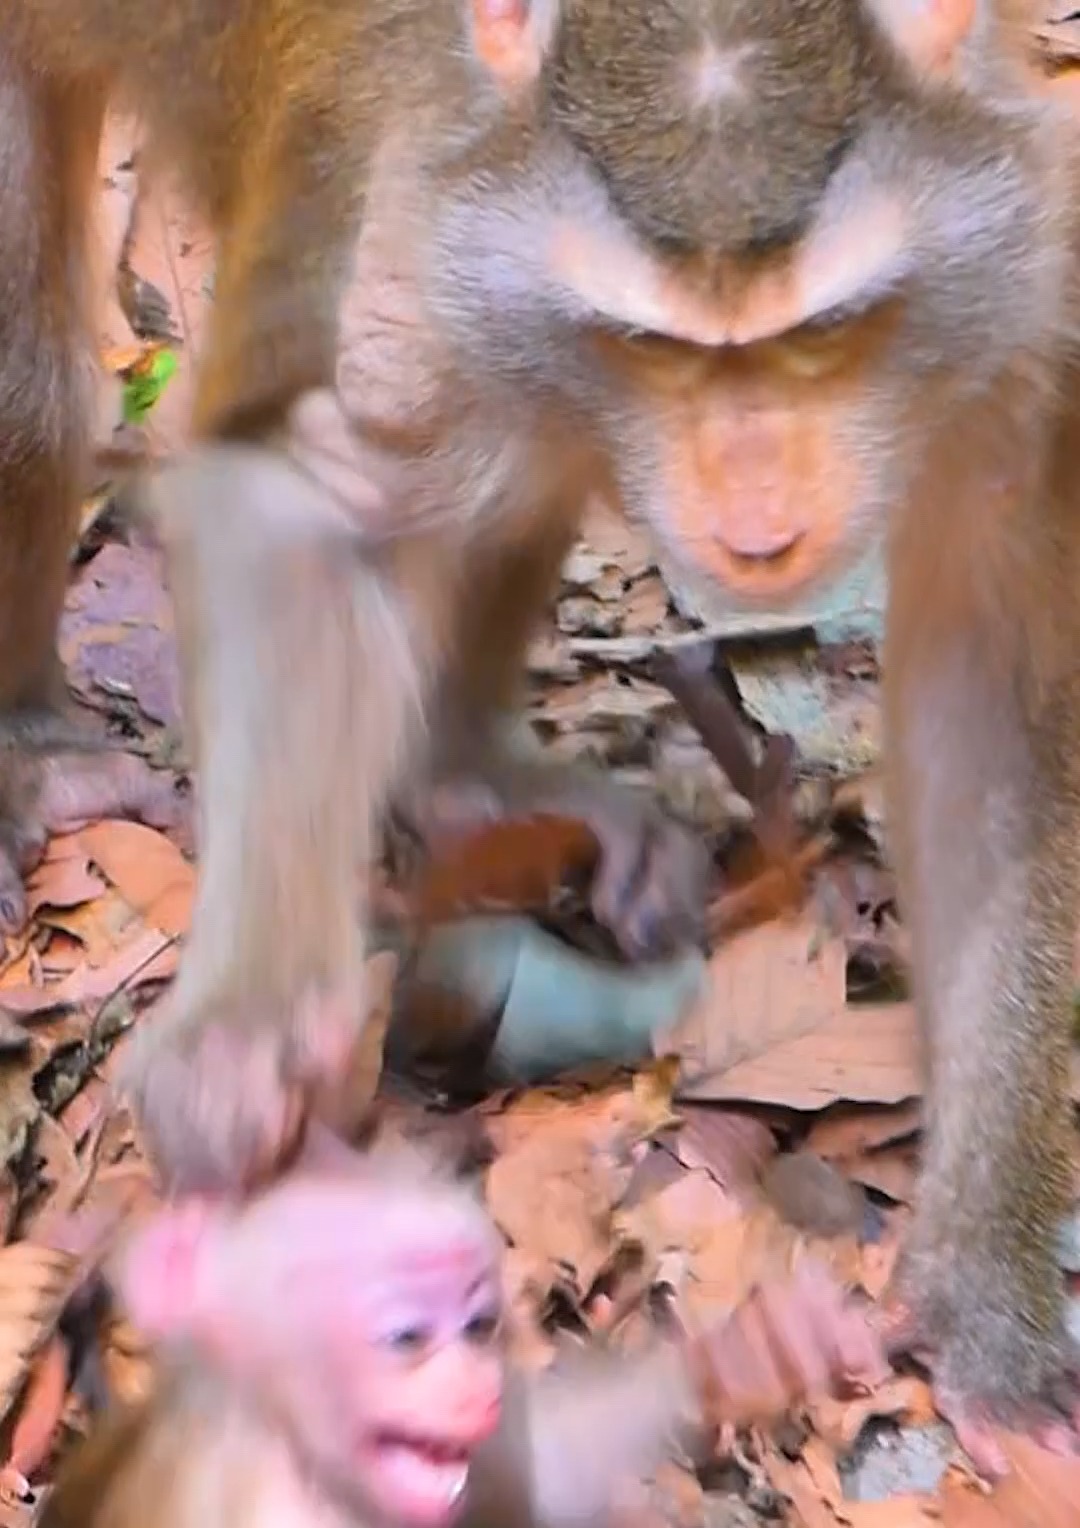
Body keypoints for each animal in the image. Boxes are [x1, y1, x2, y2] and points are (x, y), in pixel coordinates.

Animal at [4, 0, 1080, 1477]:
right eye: (661, 350)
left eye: (824, 335)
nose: (756, 525)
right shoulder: (409, 227)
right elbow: (281, 489)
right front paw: (247, 1040)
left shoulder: (1017, 287)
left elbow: (991, 693)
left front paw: (989, 1295)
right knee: (38, 385)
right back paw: (39, 747)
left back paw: (469, 781)